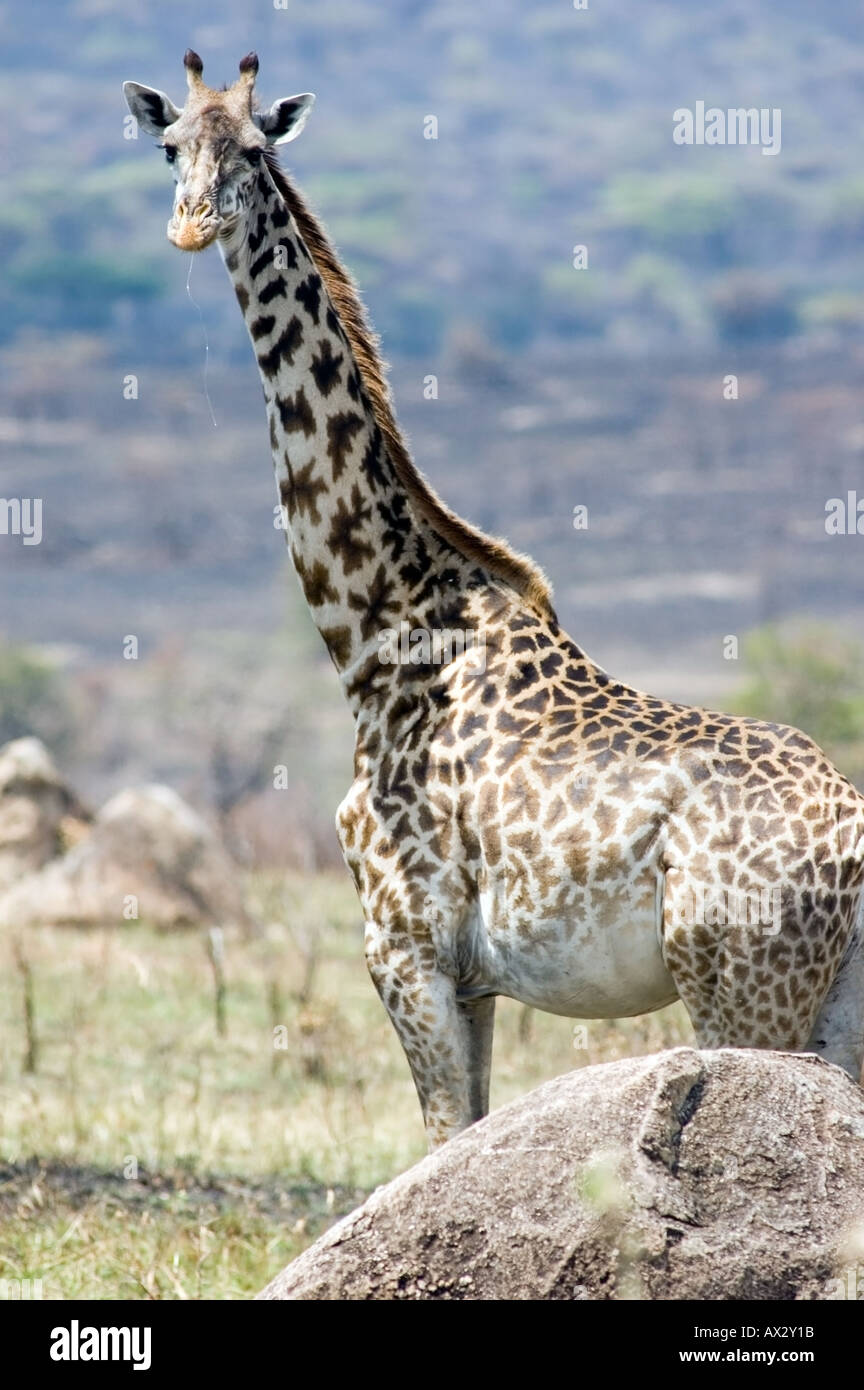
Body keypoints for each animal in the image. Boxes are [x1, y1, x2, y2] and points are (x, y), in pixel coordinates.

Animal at [124, 53, 864, 1149]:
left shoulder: (406, 947)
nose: (191, 225)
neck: (376, 630)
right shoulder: (470, 979)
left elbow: (438, 1143)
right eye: (171, 146)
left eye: (254, 151)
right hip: (832, 999)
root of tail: (853, 838)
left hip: (746, 988)